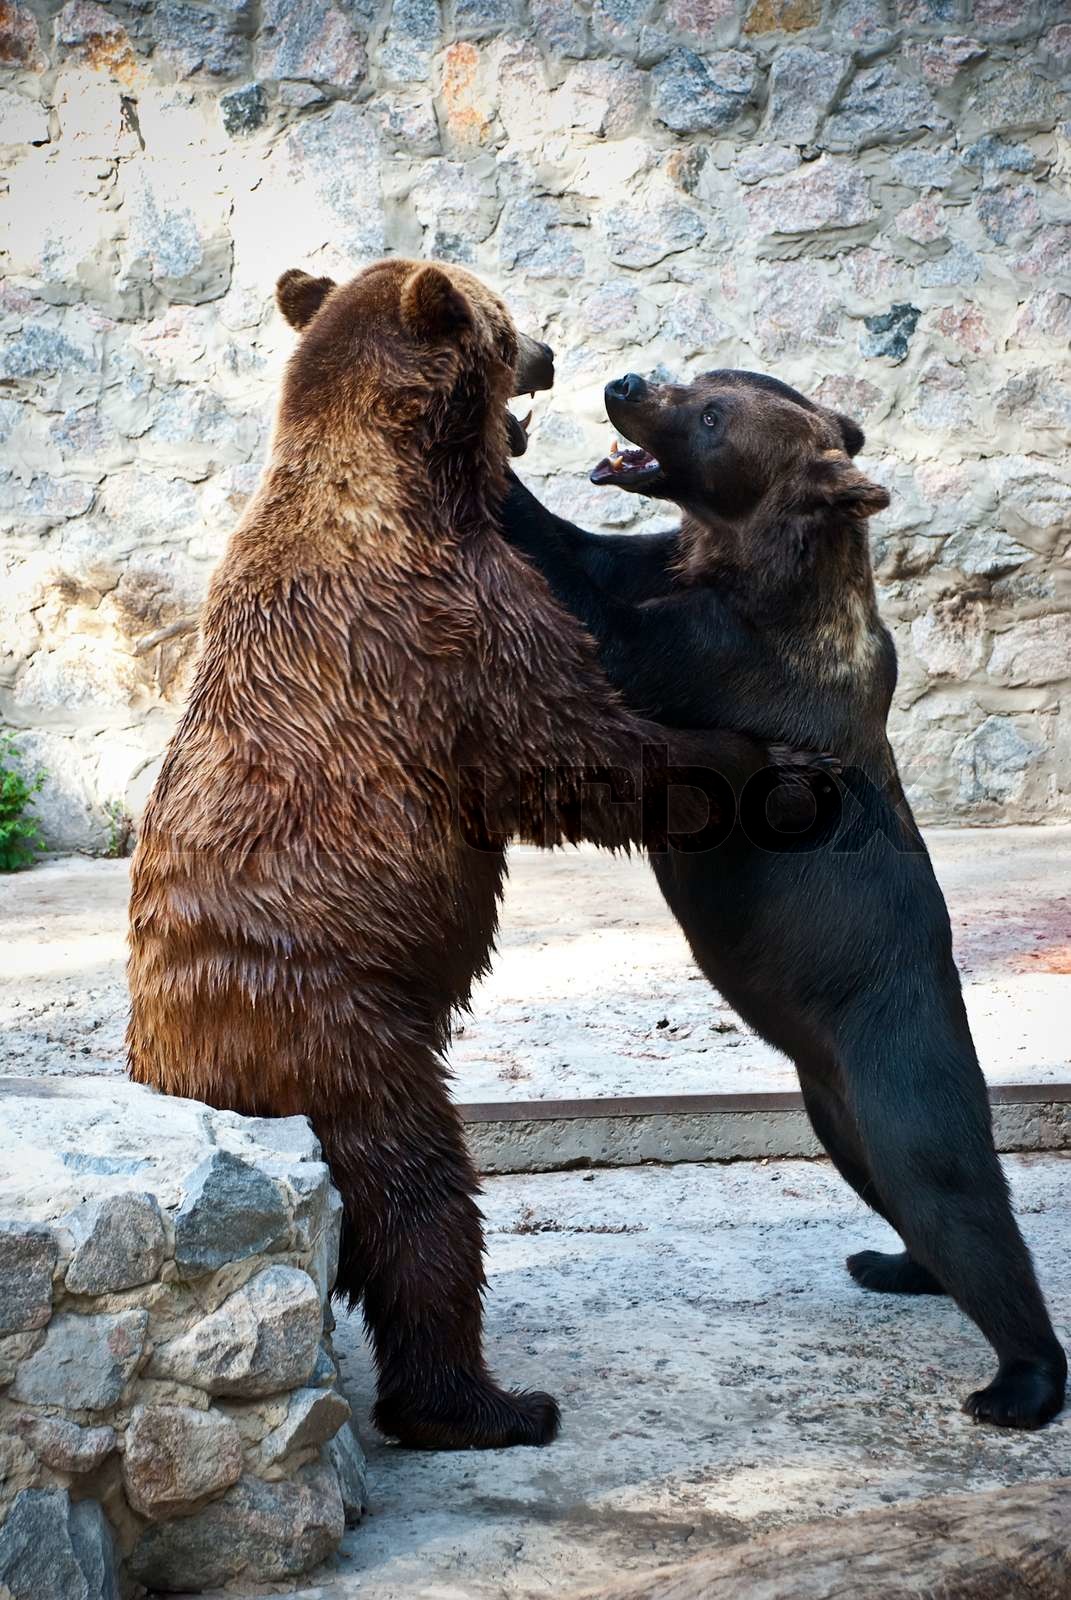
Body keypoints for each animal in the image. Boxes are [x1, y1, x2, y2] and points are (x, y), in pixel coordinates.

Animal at [127, 264, 805, 1451]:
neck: (412, 480)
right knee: (422, 1202)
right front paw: (738, 754)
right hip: (341, 1032)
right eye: (507, 321)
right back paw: (487, 1403)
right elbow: (564, 747)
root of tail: (194, 1076)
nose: (551, 352)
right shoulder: (446, 623)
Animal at [499, 367, 1067, 1431]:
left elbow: (592, 611)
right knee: (894, 1193)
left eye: (713, 414)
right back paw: (891, 1262)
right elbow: (594, 555)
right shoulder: (662, 571)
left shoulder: (716, 654)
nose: (625, 383)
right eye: (697, 374)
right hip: (832, 1107)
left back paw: (1016, 1381)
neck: (742, 559)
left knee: (954, 1197)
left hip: (900, 1068)